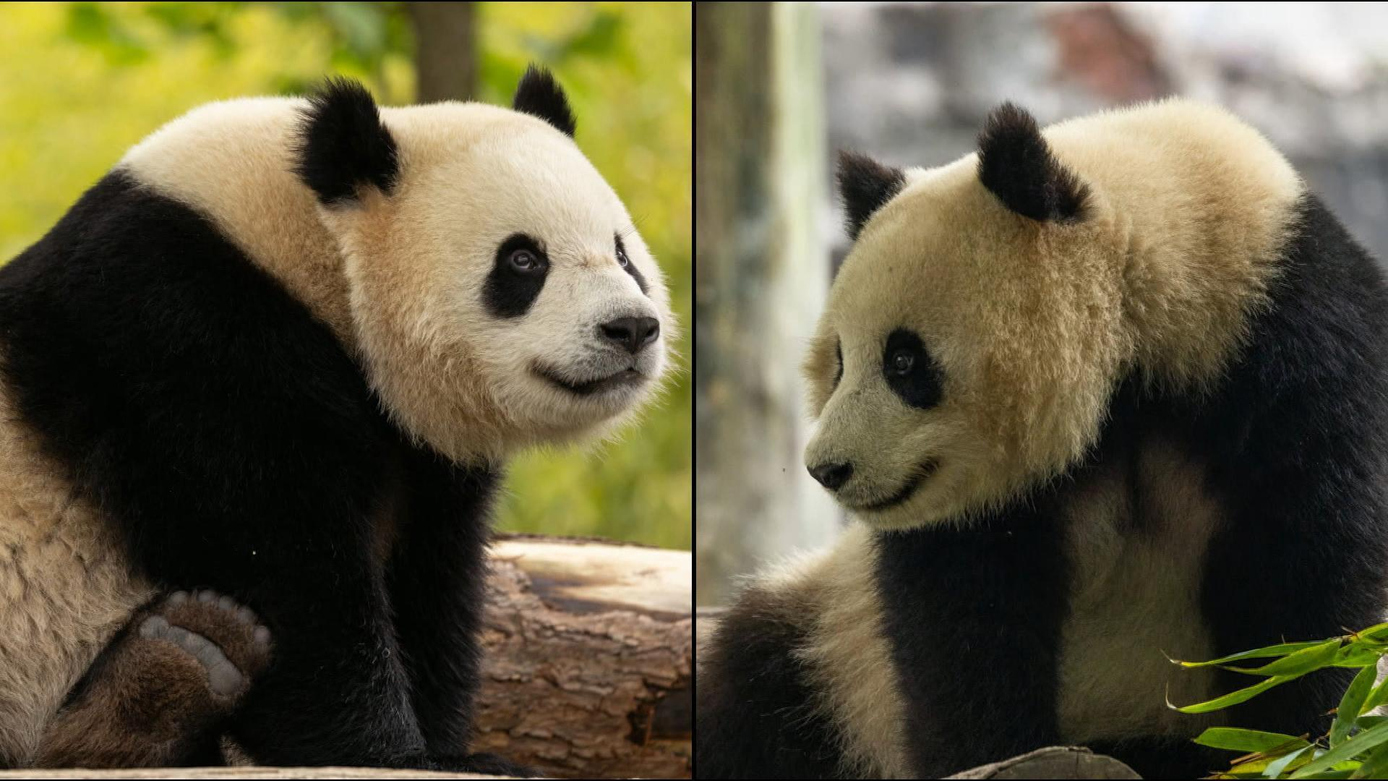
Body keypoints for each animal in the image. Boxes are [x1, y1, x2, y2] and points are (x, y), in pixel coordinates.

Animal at [0, 66, 672, 771]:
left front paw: (446, 746)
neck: (307, 252)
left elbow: (429, 586)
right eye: (523, 260)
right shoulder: (178, 333)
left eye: (623, 254)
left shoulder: (422, 456)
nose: (631, 328)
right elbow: (277, 548)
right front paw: (392, 753)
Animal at [695, 99, 1388, 779]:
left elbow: (1306, 581)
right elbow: (965, 628)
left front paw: (1305, 749)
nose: (827, 468)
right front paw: (996, 754)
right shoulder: (974, 516)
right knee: (760, 689)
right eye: (838, 362)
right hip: (833, 650)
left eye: (903, 361)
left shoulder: (1291, 358)